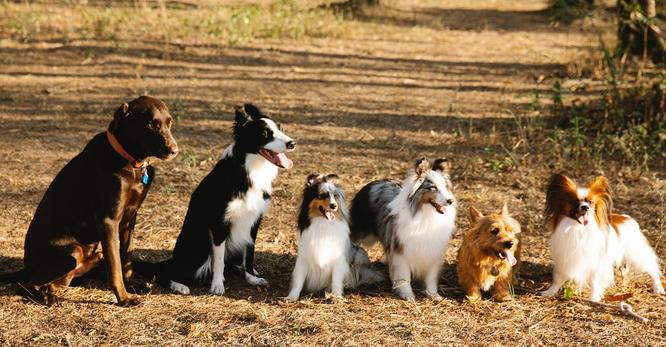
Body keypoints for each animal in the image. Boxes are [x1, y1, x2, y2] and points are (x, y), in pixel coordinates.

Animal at [348, 159, 456, 300]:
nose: (450, 201)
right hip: (363, 234)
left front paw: (433, 294)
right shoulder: (401, 250)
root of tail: (372, 182)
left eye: (445, 187)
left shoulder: (432, 250)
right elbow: (404, 275)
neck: (425, 214)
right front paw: (407, 294)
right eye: (433, 188)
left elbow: (430, 277)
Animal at [540, 174, 664, 302]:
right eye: (575, 201)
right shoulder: (563, 258)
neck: (578, 228)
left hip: (637, 255)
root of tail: (627, 218)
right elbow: (558, 278)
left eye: (591, 202)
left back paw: (658, 288)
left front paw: (594, 297)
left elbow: (594, 281)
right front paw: (550, 292)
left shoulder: (596, 262)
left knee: (652, 269)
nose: (585, 208)